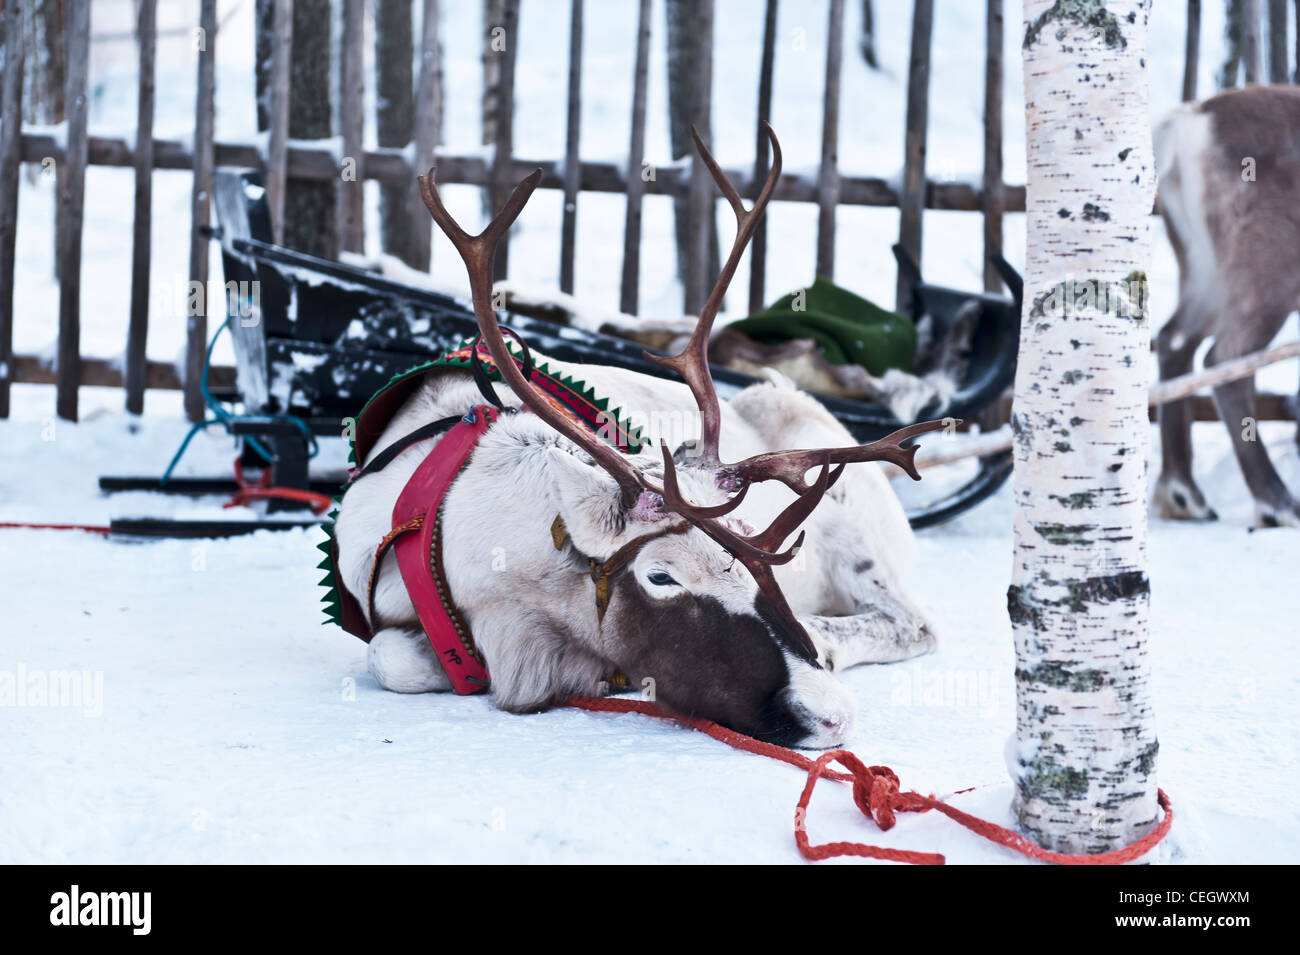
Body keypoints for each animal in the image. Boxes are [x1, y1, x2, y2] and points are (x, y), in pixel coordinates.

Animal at [329, 126, 945, 748]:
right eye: (661, 575)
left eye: (762, 567)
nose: (832, 714)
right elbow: (390, 655)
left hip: (852, 528)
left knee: (914, 621)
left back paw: (824, 633)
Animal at [1153, 84, 1300, 527]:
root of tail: (1191, 121)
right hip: (1268, 273)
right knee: (1225, 362)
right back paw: (1278, 503)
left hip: (1202, 268)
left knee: (1173, 341)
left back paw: (1183, 493)